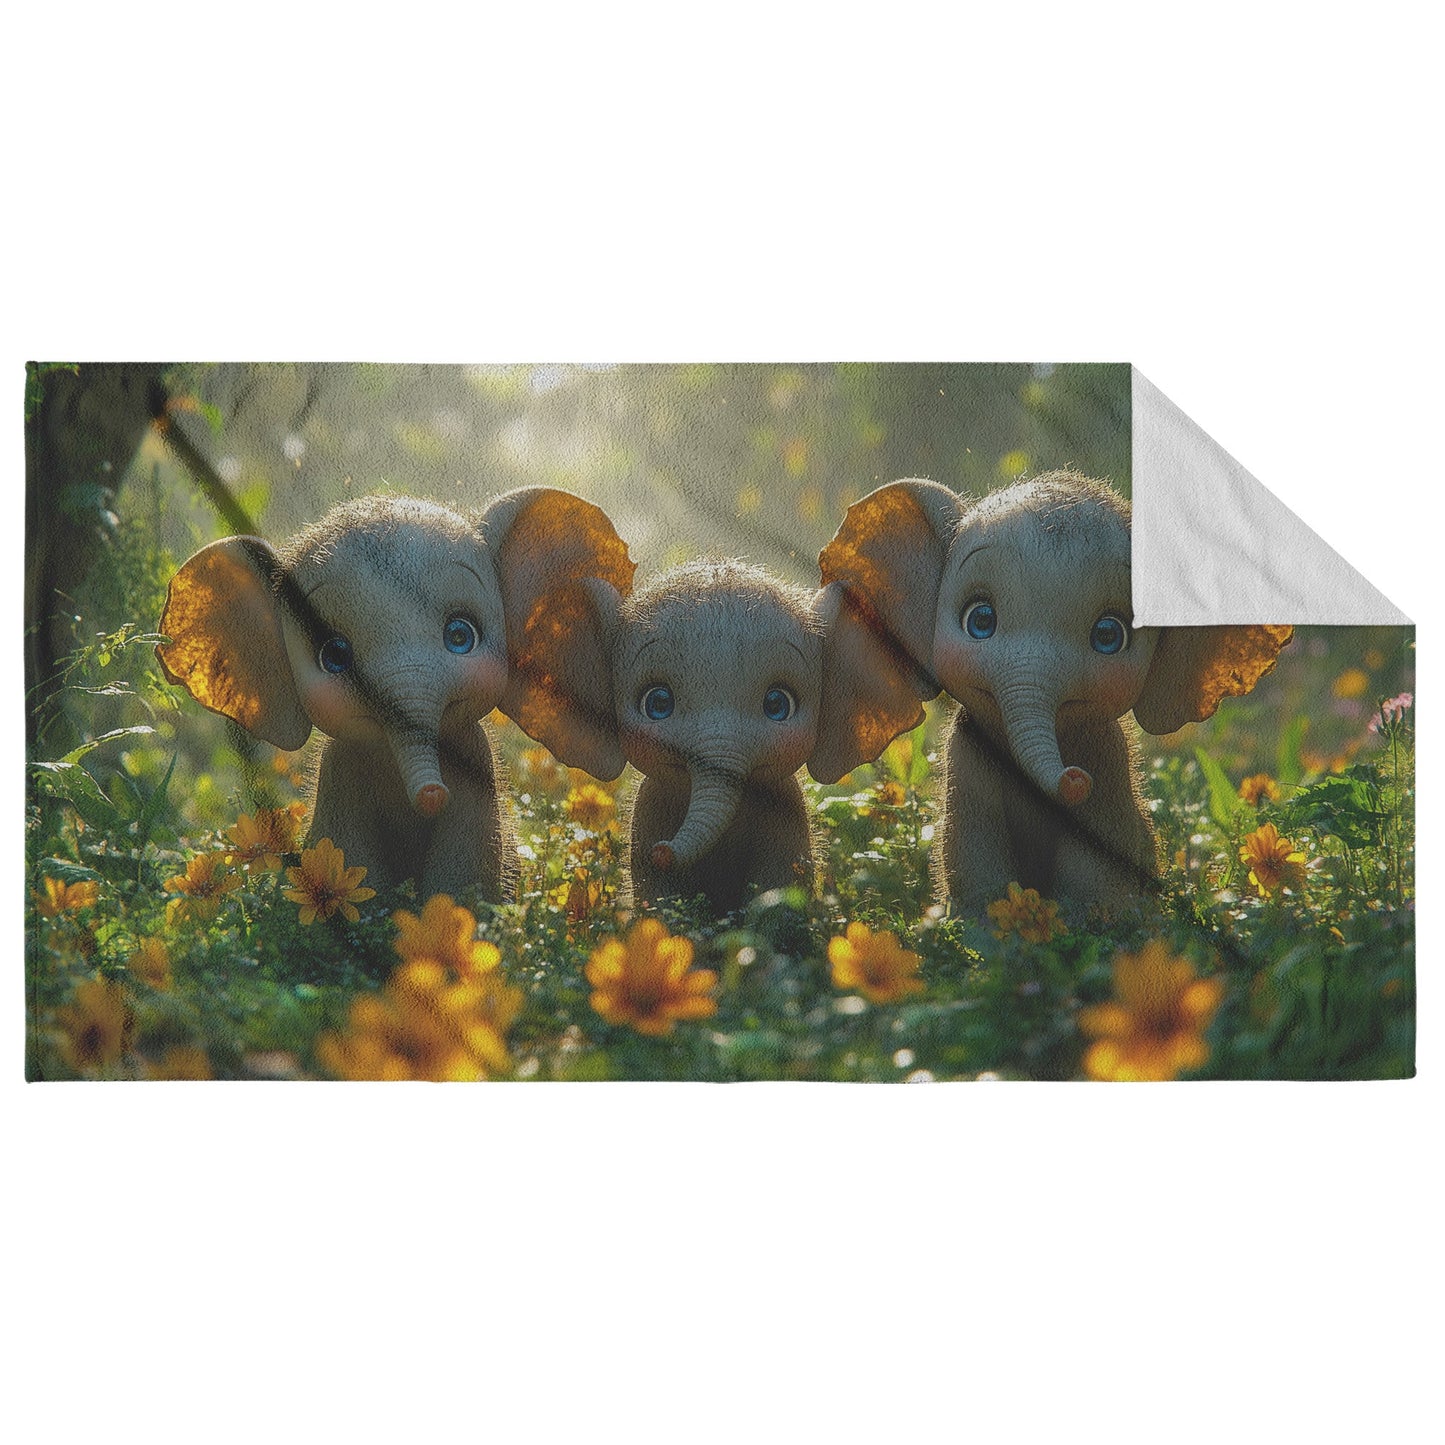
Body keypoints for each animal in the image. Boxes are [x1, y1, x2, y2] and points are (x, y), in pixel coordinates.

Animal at [156, 487, 635, 901]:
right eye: (334, 656)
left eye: (460, 635)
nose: (432, 794)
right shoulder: (340, 772)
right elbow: (350, 858)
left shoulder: (474, 762)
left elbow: (464, 864)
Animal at [513, 556, 883, 914]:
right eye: (658, 703)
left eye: (778, 704)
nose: (661, 852)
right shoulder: (651, 810)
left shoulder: (787, 812)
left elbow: (778, 892)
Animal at [819, 471, 1292, 914]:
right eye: (980, 620)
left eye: (1108, 635)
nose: (1074, 778)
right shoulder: (968, 754)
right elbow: (973, 849)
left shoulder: (1107, 758)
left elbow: (1097, 860)